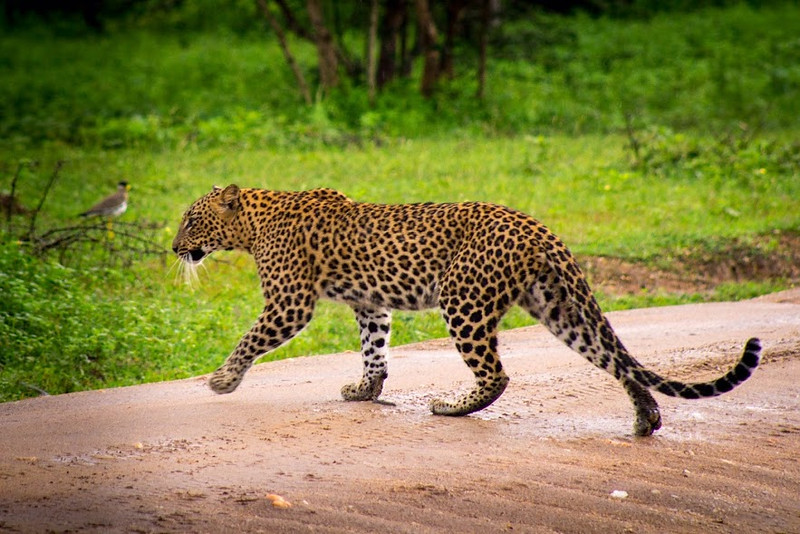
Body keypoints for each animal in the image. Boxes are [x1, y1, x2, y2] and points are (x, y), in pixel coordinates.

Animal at [172, 184, 761, 436]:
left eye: (190, 220)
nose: (174, 248)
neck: (251, 225)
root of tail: (537, 226)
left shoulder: (290, 303)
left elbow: (251, 338)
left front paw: (223, 380)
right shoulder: (369, 302)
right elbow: (374, 348)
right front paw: (366, 390)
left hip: (465, 300)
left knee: (496, 374)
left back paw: (453, 407)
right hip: (557, 307)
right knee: (614, 358)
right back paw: (645, 419)